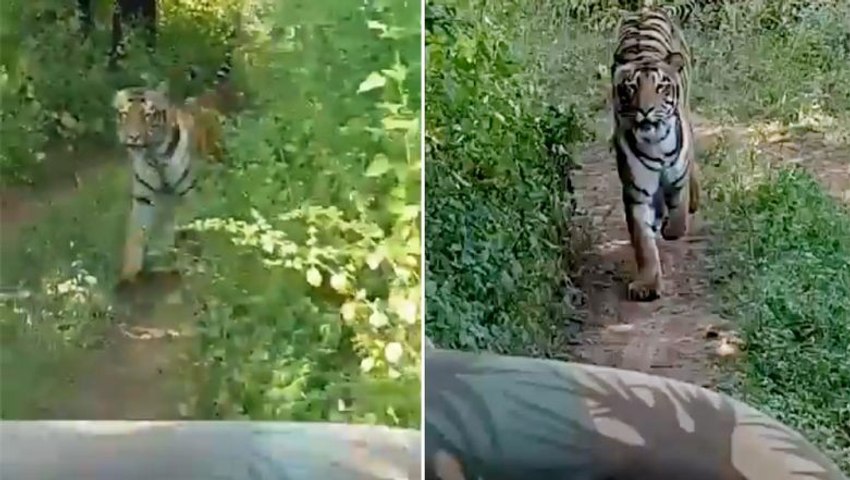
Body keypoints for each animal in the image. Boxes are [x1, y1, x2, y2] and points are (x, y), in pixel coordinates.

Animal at [112, 55, 241, 286]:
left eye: (147, 115)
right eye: (124, 114)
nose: (132, 137)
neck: (153, 156)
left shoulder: (190, 193)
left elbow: (184, 224)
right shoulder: (142, 199)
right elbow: (134, 235)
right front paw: (128, 275)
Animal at [610, 3, 701, 302]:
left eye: (661, 86)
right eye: (631, 88)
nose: (646, 110)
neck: (656, 142)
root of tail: (645, 9)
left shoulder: (678, 176)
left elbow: (679, 216)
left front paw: (671, 229)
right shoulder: (636, 192)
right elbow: (643, 243)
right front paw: (647, 285)